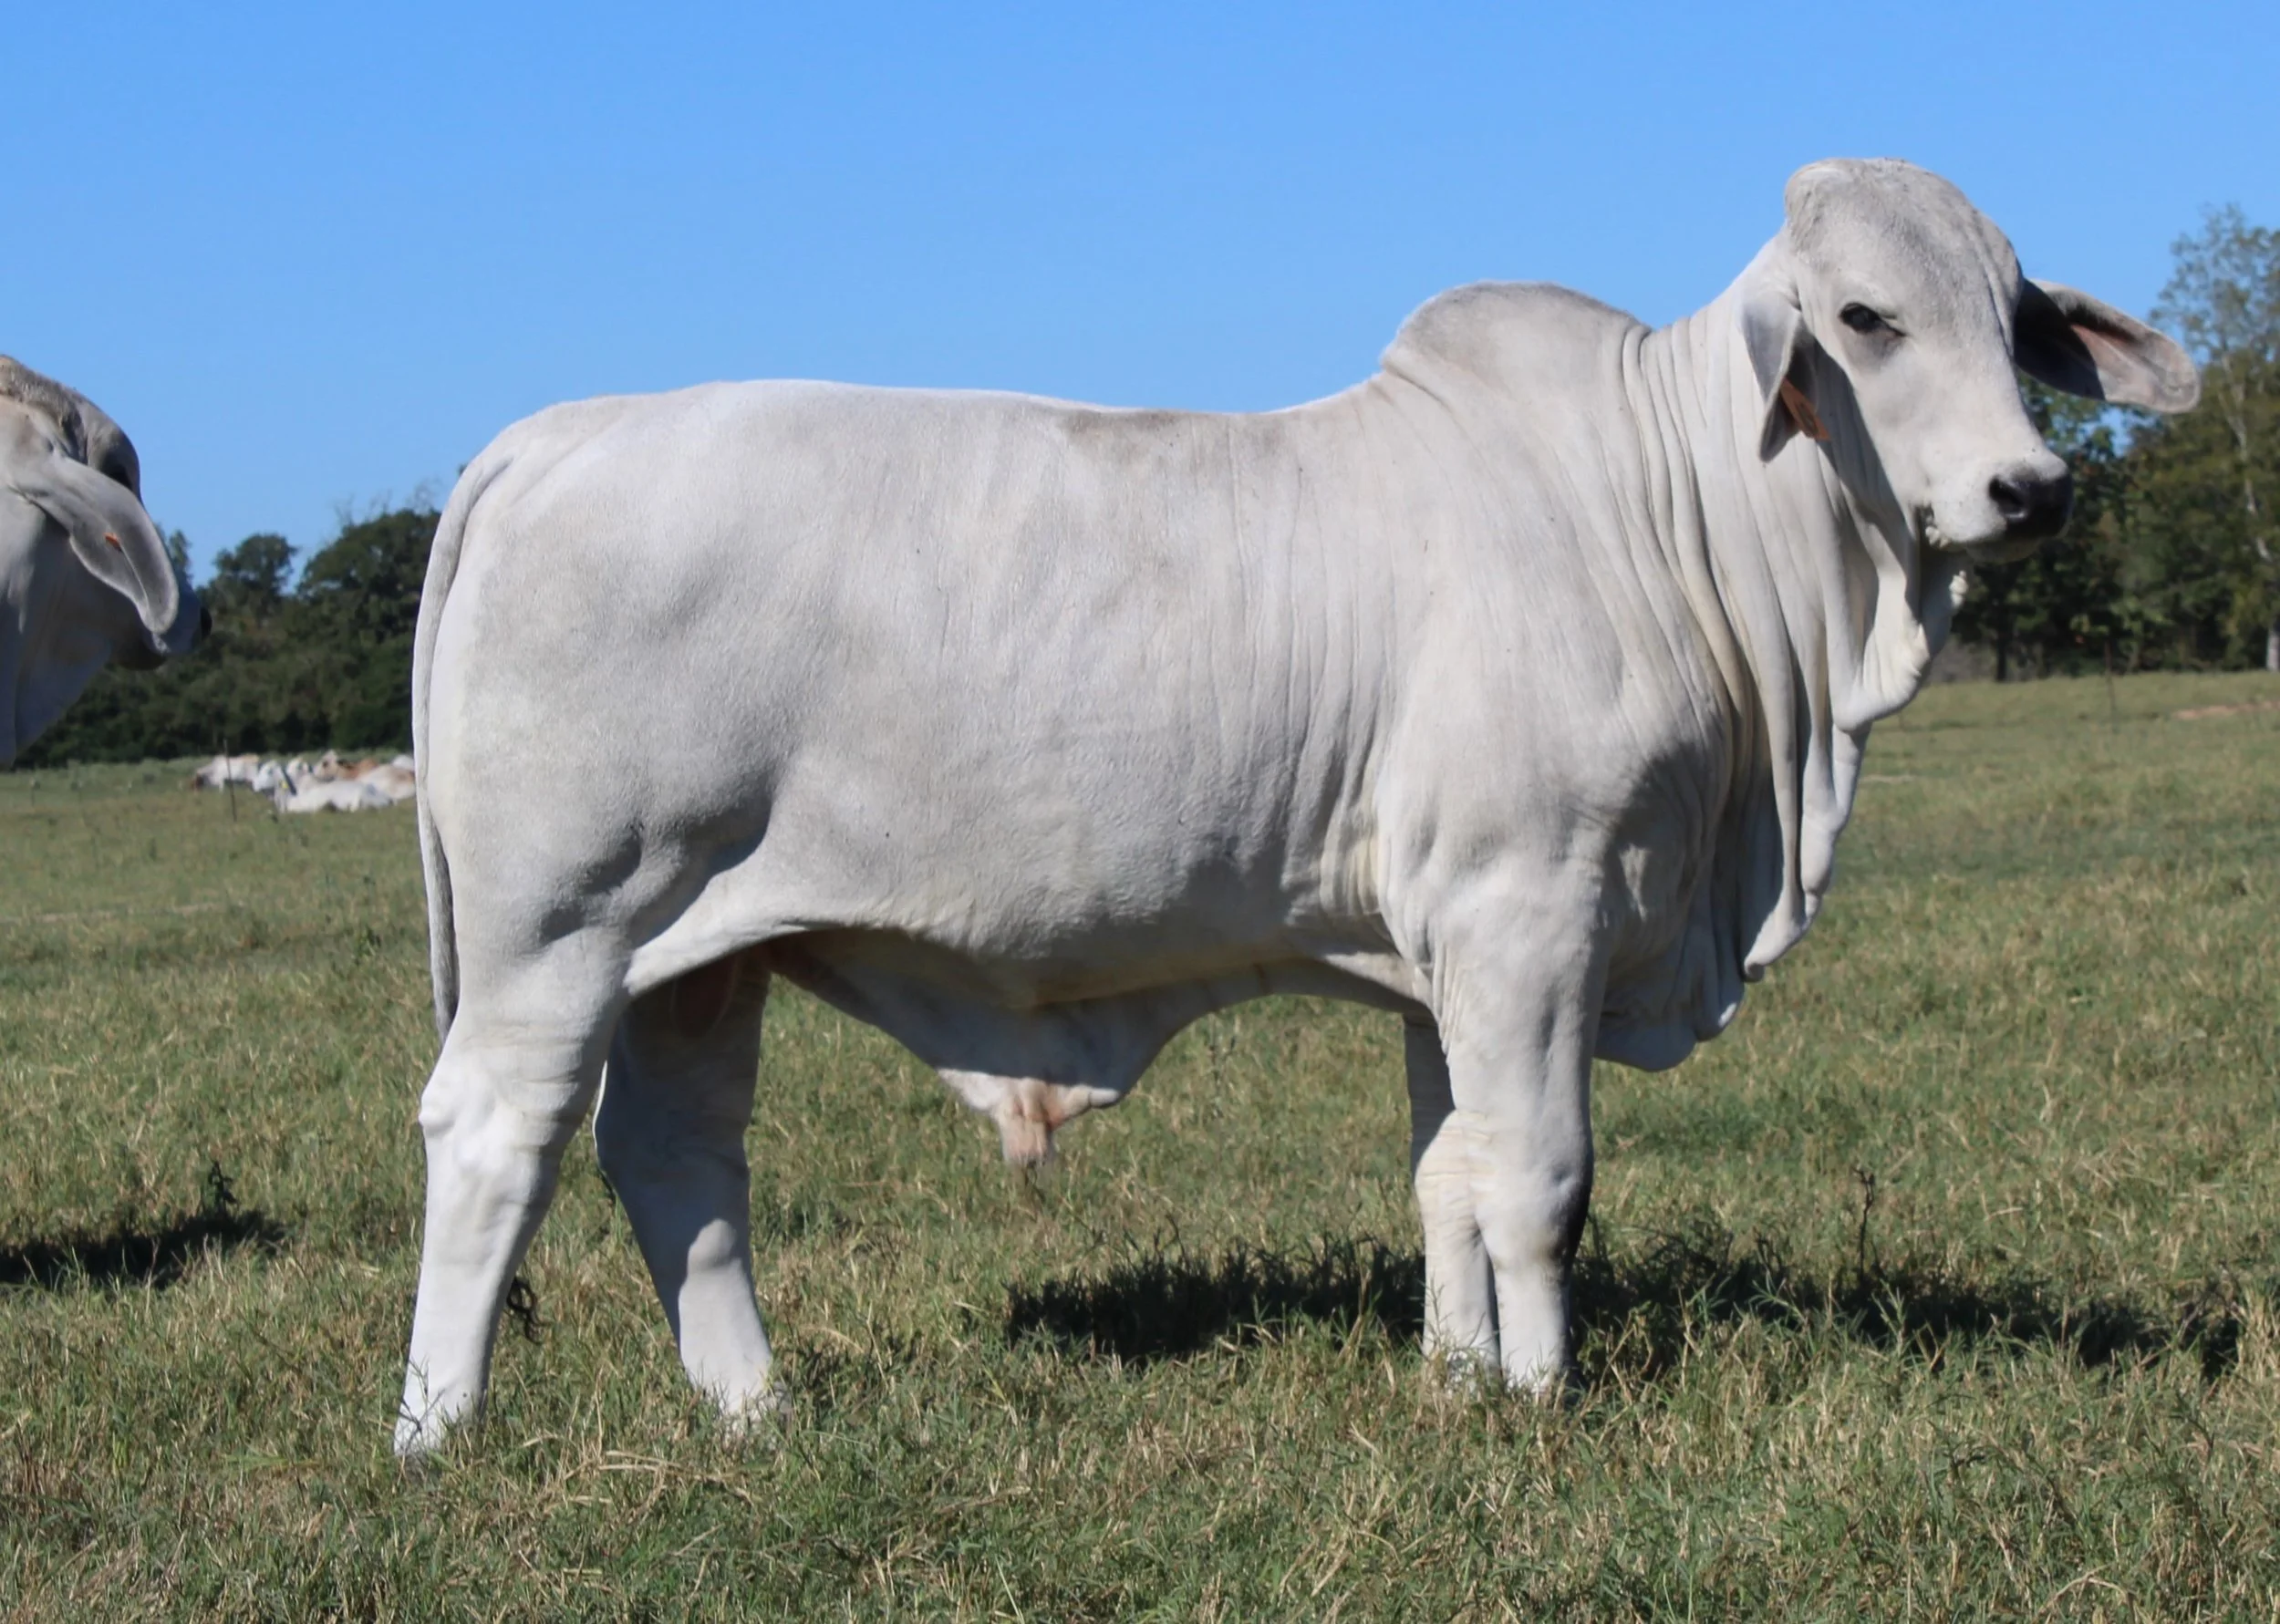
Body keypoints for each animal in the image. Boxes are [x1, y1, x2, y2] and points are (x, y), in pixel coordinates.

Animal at [393, 159, 2198, 1455]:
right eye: (1867, 316)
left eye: (2015, 313)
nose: (2032, 491)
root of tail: (554, 434)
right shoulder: (1532, 906)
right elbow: (1541, 1177)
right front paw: (1539, 1404)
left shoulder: (1453, 951)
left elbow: (1450, 1169)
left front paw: (1457, 1383)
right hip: (563, 923)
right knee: (498, 1138)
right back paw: (441, 1435)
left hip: (700, 953)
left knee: (678, 1158)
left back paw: (757, 1414)